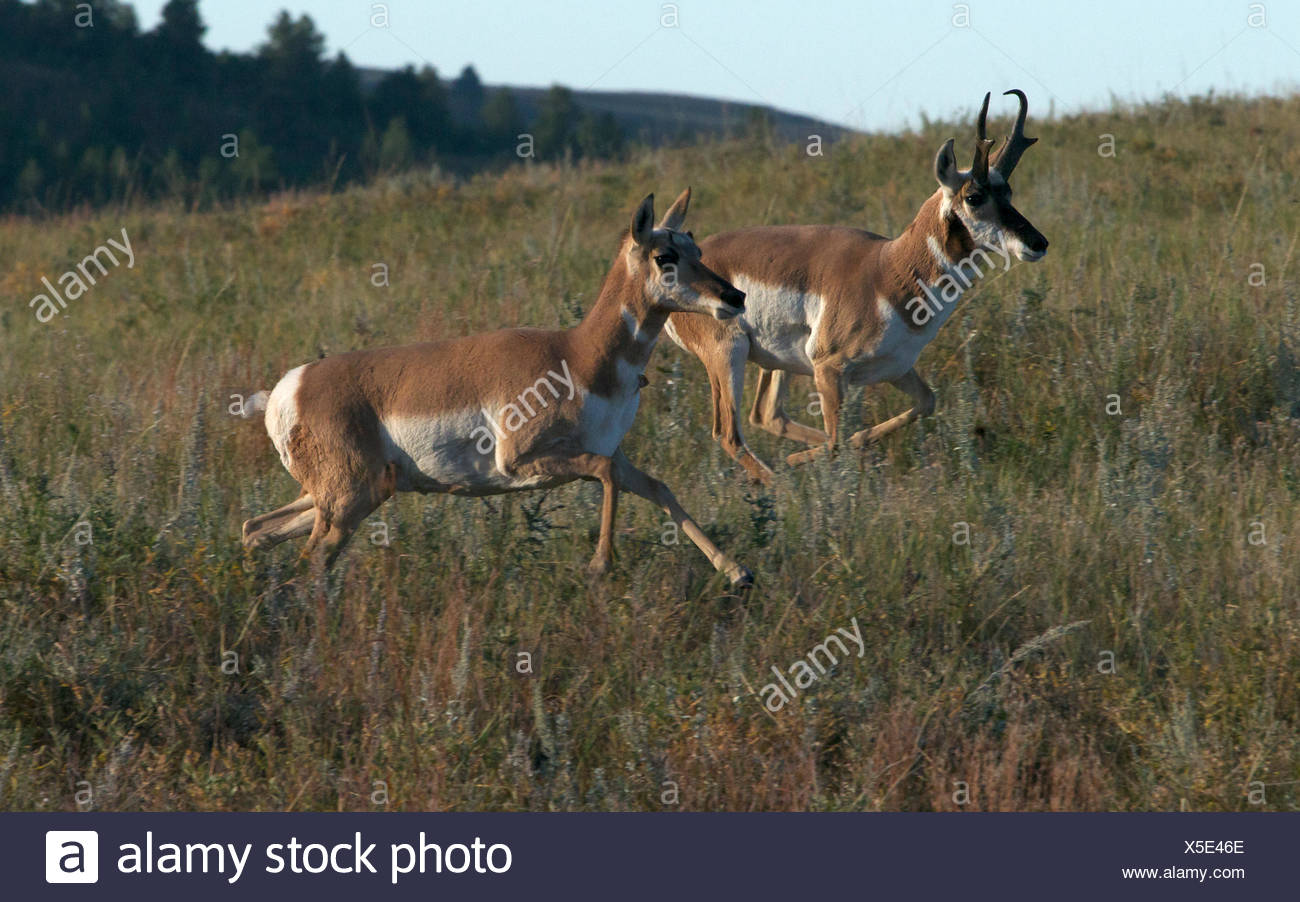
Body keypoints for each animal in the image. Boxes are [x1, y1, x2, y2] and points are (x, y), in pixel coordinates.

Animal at [241, 190, 753, 586]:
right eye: (665, 256)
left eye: (697, 250)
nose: (735, 296)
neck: (578, 353)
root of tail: (288, 389)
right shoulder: (526, 461)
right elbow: (604, 473)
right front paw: (598, 566)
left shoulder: (617, 456)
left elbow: (660, 488)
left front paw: (738, 572)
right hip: (350, 497)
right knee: (311, 558)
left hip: (337, 496)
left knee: (256, 529)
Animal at [664, 90, 1049, 484]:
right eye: (974, 197)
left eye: (1008, 191)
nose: (1038, 243)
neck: (888, 269)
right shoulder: (829, 369)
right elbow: (837, 440)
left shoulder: (896, 368)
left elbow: (924, 403)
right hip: (728, 355)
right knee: (728, 433)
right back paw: (781, 483)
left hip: (775, 363)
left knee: (766, 415)